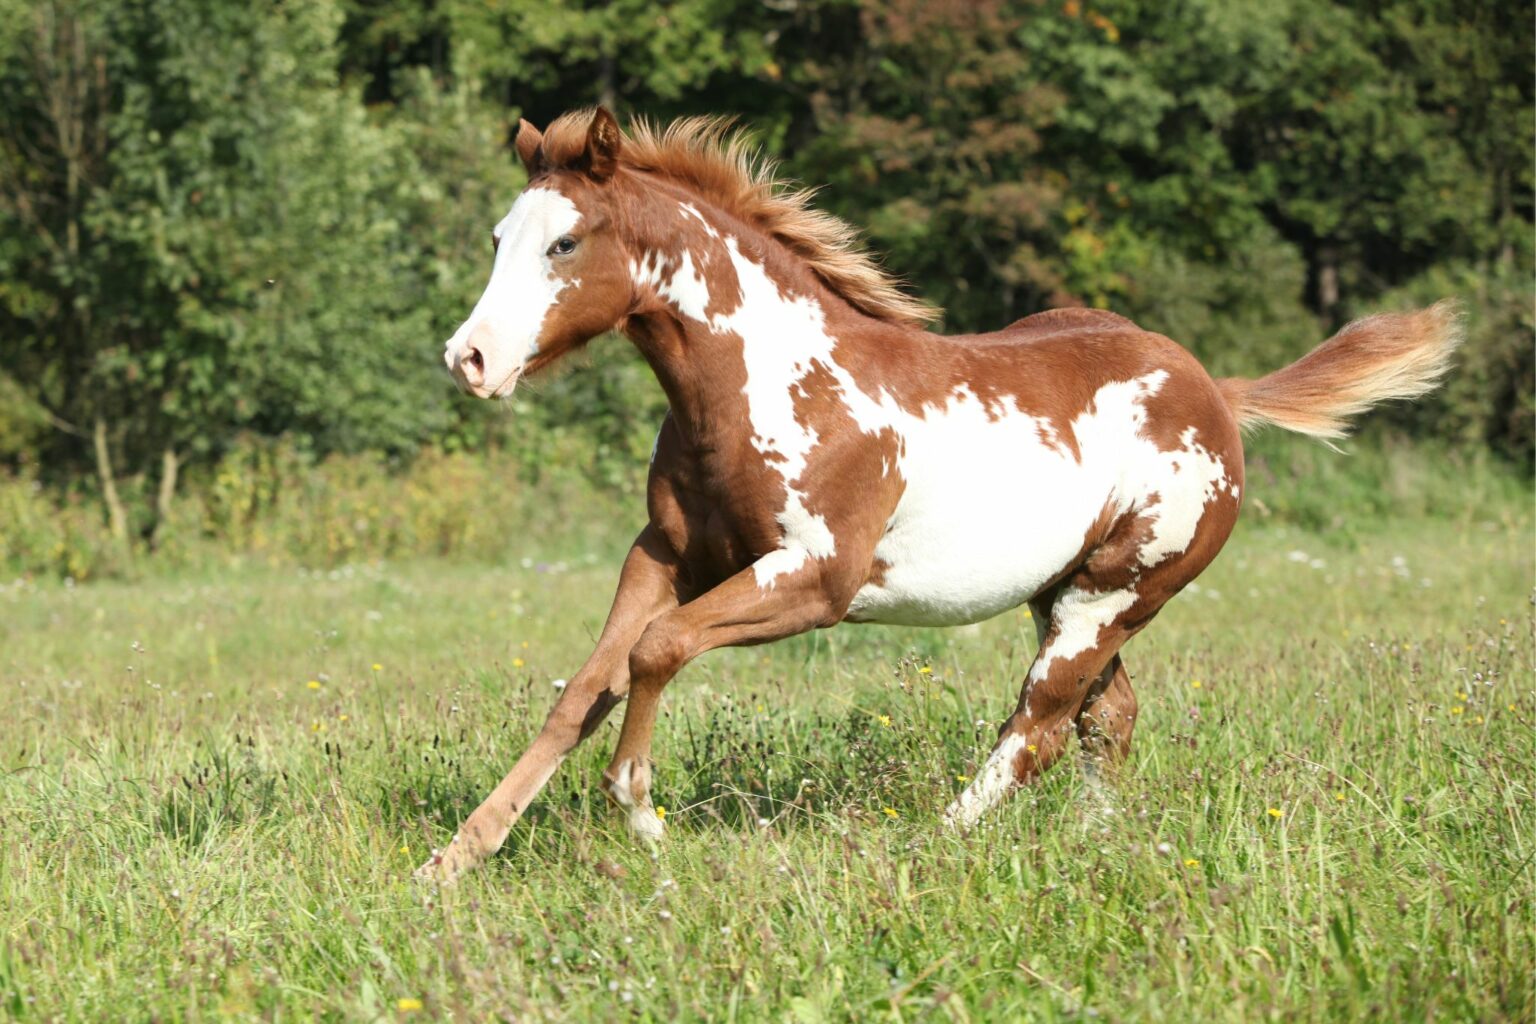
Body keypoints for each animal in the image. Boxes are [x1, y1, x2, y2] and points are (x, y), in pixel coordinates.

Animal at [422, 107, 1460, 884]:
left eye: (565, 241)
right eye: (499, 238)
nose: (468, 359)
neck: (769, 382)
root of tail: (1216, 390)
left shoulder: (816, 580)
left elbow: (657, 650)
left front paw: (638, 810)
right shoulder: (667, 555)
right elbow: (586, 688)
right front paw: (455, 859)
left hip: (1114, 596)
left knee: (1039, 727)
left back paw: (935, 844)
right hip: (1066, 594)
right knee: (1106, 719)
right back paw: (1099, 843)